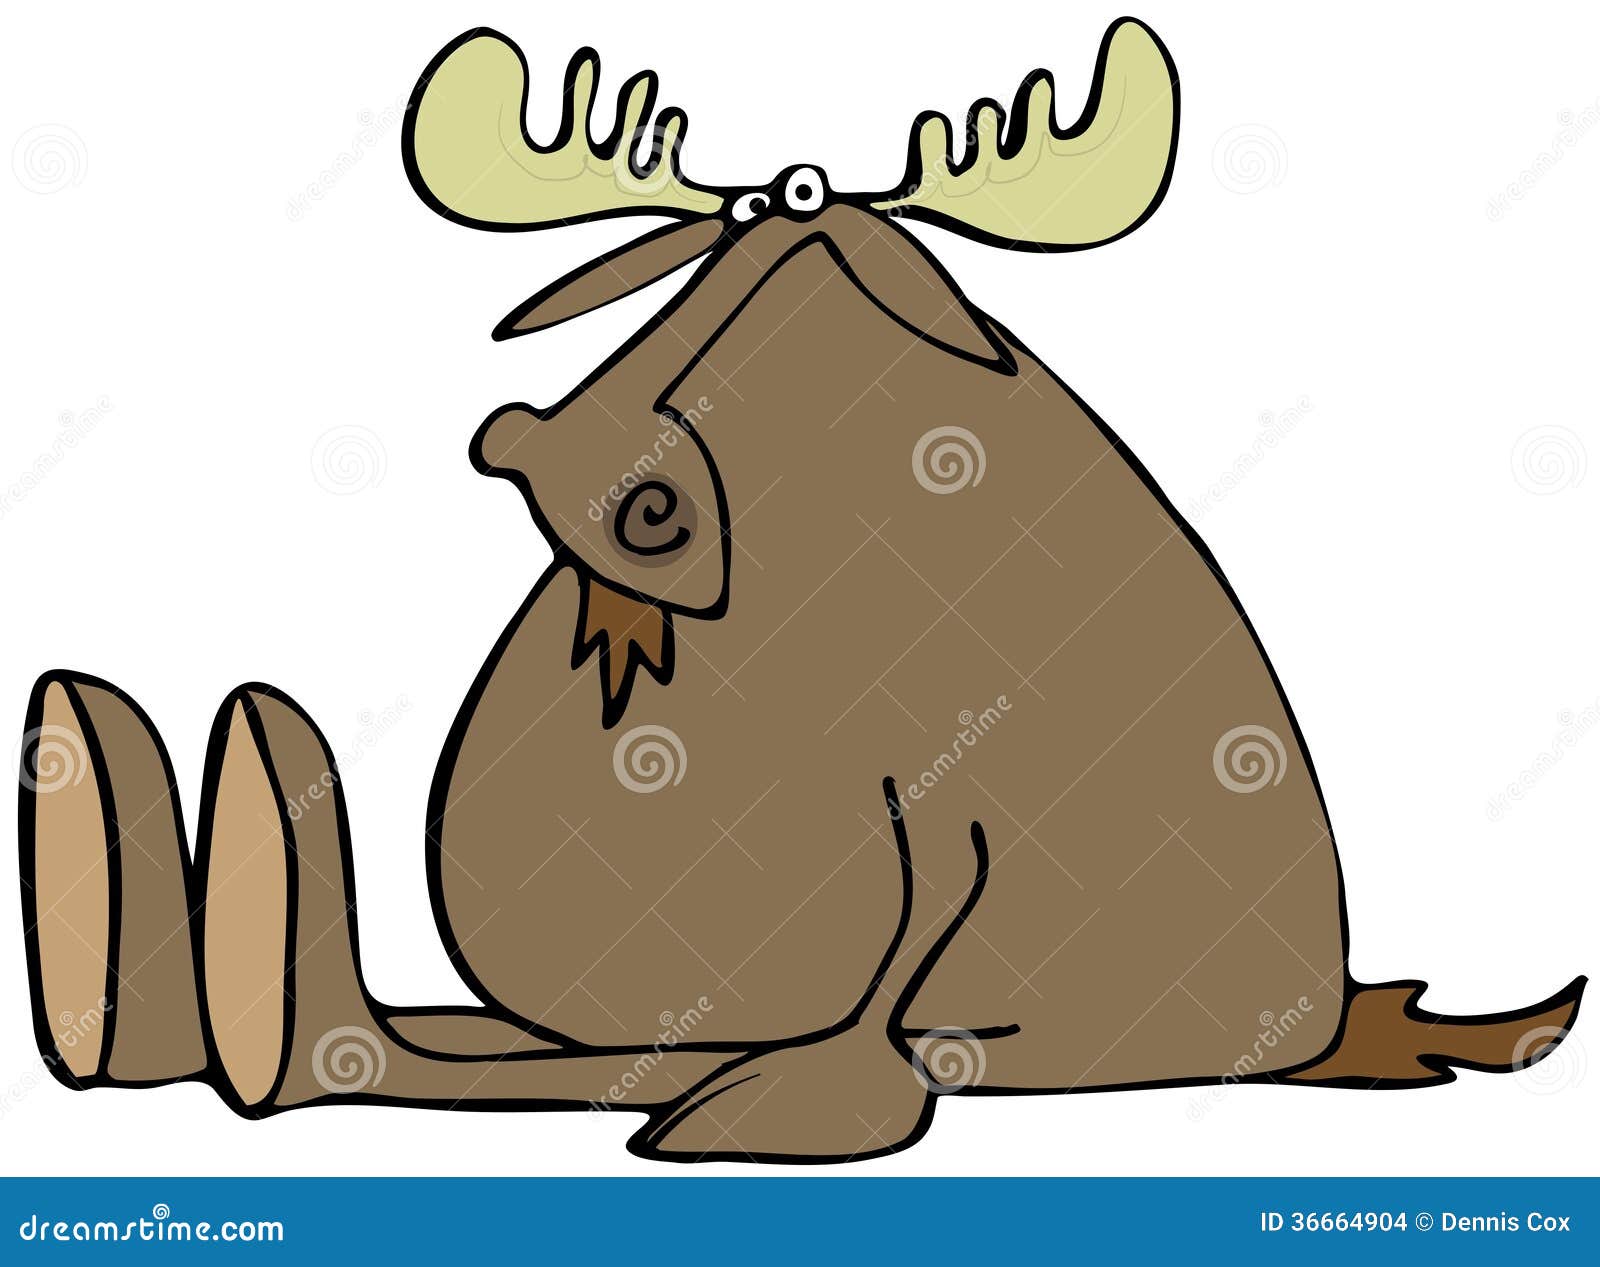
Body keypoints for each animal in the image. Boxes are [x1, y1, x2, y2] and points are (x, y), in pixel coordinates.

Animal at [19, 19, 1584, 1163]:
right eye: (715, 251)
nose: (574, 459)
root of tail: (1327, 1009)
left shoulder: (943, 799)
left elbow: (891, 978)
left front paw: (795, 1104)